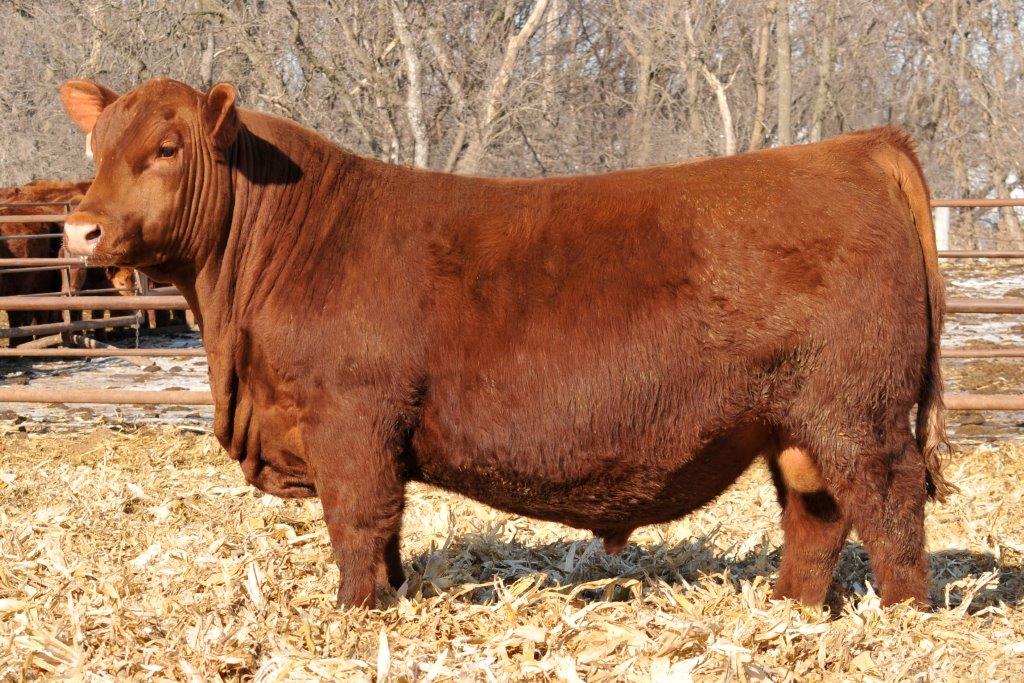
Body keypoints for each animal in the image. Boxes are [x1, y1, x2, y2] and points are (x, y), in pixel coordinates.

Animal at [58, 77, 953, 610]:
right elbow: (388, 531)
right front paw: (389, 598)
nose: (80, 227)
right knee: (816, 512)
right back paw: (792, 606)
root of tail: (857, 147)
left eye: (167, 148)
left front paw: (355, 614)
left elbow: (358, 521)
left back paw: (902, 617)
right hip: (796, 423)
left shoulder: (350, 420)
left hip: (858, 411)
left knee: (890, 503)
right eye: (95, 148)